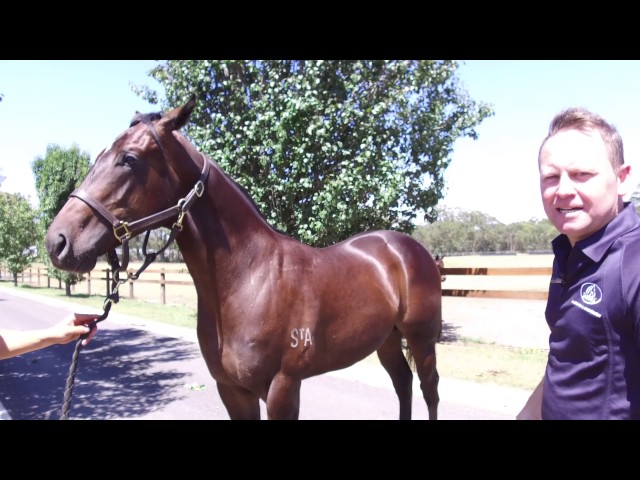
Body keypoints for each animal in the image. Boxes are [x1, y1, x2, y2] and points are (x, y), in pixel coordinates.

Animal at [45, 96, 443, 420]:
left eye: (129, 160)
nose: (58, 242)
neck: (248, 280)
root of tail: (409, 249)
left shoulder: (283, 388)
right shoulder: (233, 390)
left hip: (421, 339)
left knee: (429, 390)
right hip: (387, 339)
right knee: (403, 384)